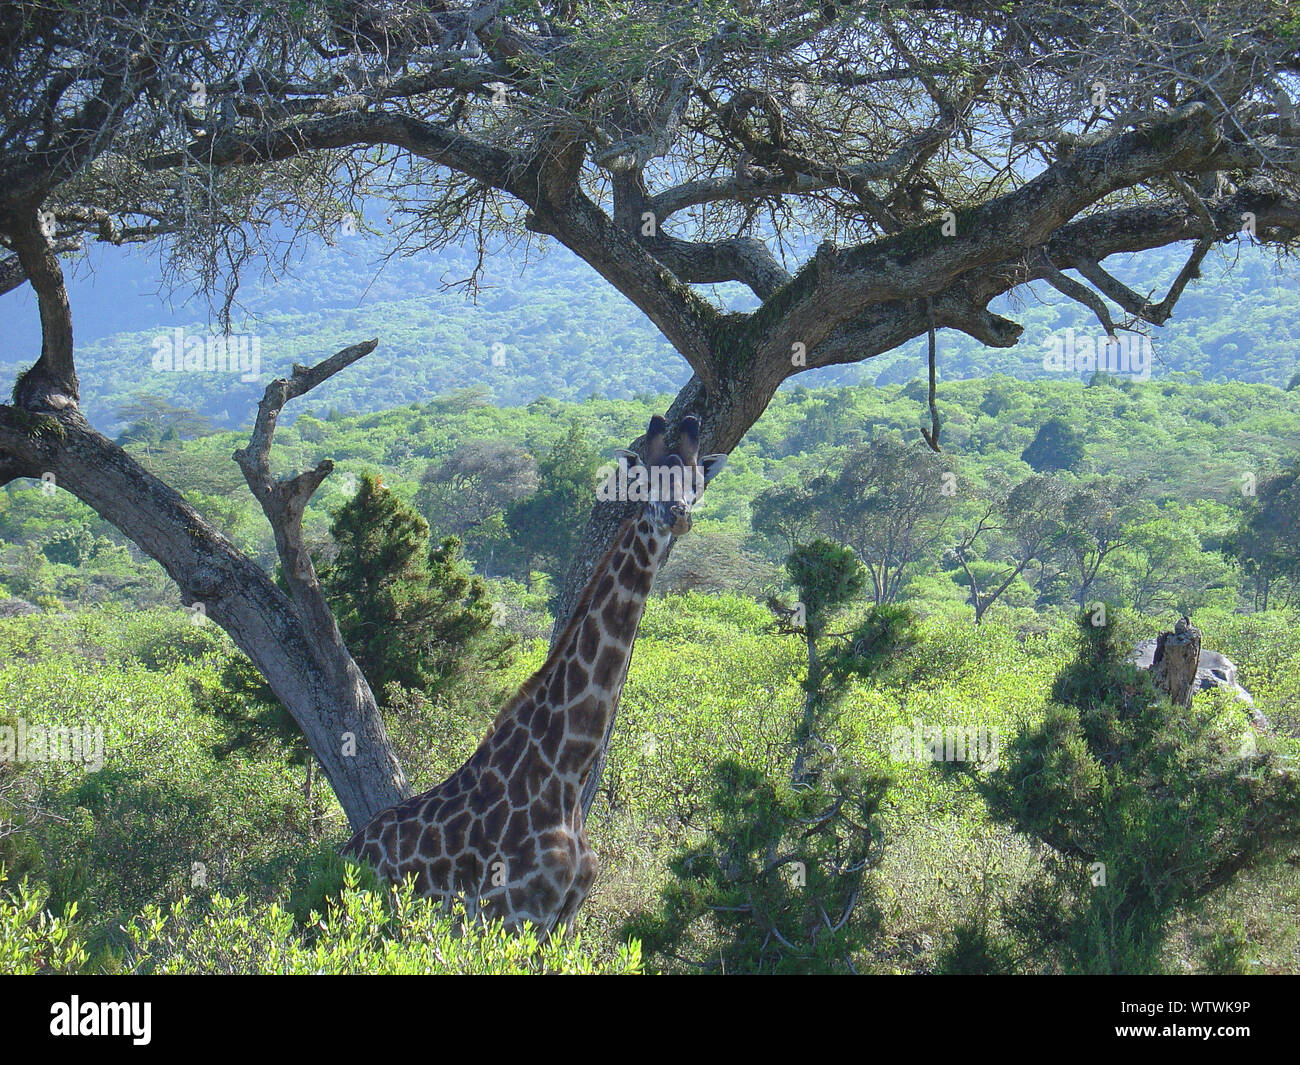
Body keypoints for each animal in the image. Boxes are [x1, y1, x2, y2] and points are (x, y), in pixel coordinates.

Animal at [342, 414, 727, 934]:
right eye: (645, 482)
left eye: (695, 483)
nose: (678, 514)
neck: (565, 776)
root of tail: (344, 853)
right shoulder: (510, 914)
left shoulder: (561, 921)